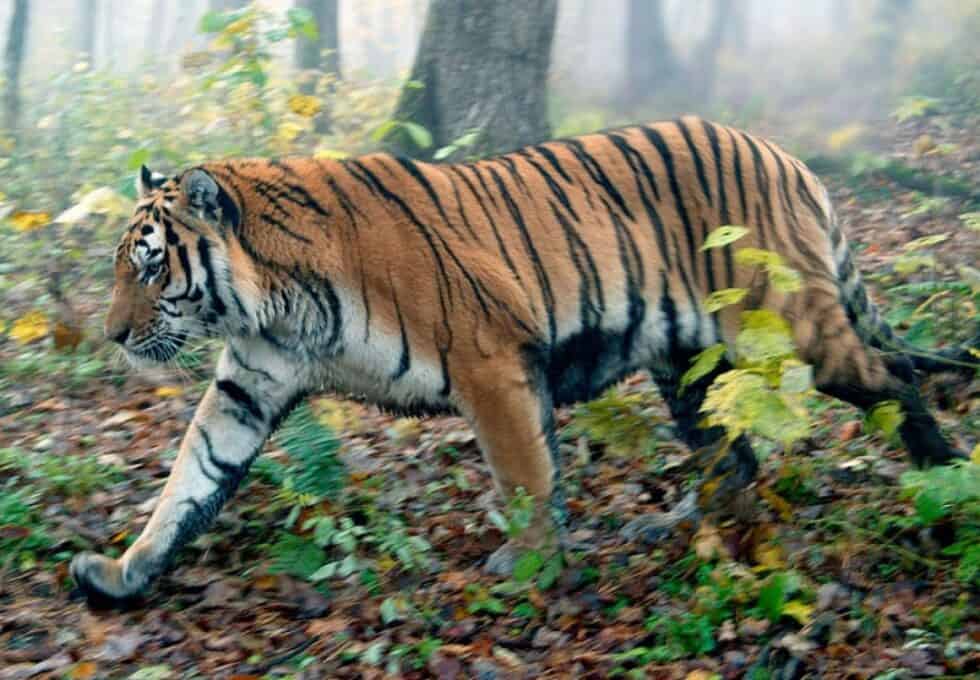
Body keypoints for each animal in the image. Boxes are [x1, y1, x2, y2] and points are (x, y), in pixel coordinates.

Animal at [70, 116, 974, 604]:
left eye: (148, 266)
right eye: (122, 266)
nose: (112, 335)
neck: (272, 301)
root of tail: (785, 154)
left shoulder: (489, 360)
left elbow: (523, 470)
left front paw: (532, 561)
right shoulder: (247, 386)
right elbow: (190, 482)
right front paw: (123, 573)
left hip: (786, 323)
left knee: (892, 382)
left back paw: (944, 484)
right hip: (687, 364)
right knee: (732, 450)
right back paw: (680, 523)